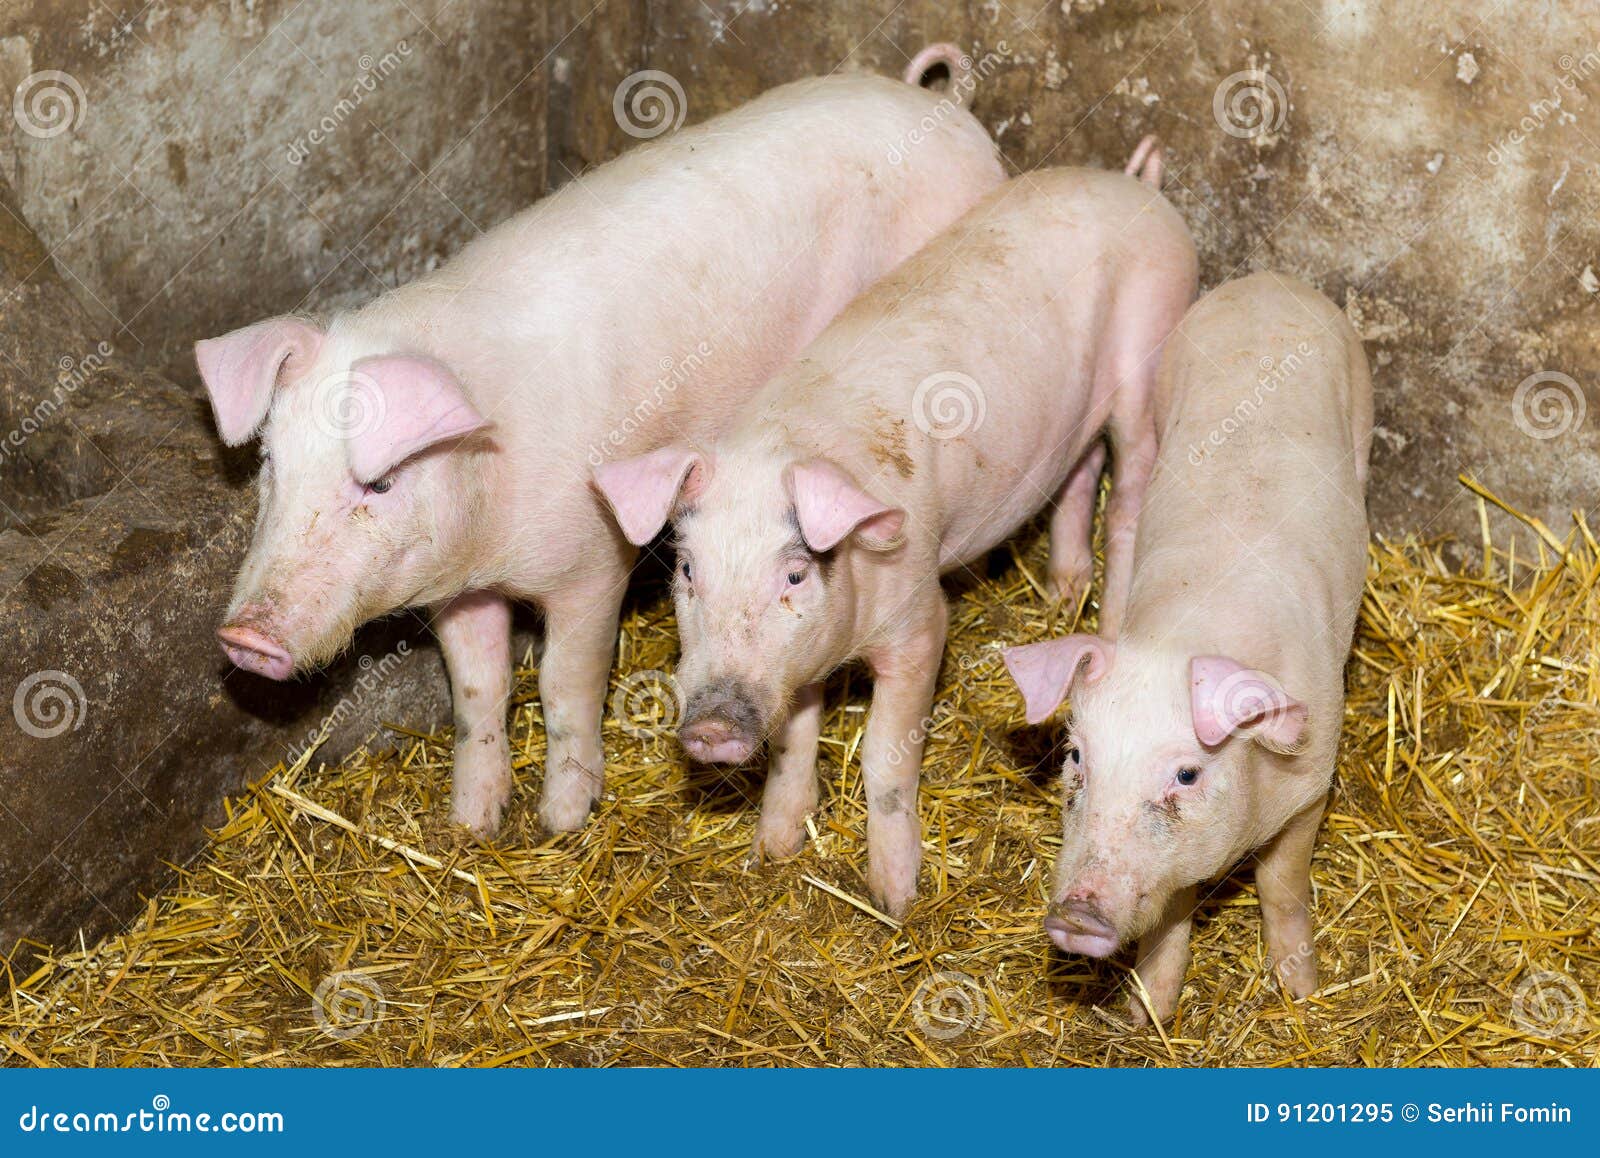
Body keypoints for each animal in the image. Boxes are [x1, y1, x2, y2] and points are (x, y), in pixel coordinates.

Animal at [198, 55, 1005, 839]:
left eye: (380, 485)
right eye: (270, 463)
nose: (243, 635)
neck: (490, 492)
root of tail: (943, 109)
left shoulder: (592, 561)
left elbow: (565, 682)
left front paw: (561, 822)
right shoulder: (461, 588)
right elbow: (476, 688)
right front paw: (472, 827)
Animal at [592, 155, 1198, 917]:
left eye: (795, 573)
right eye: (688, 572)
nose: (710, 728)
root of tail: (1135, 184)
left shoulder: (921, 622)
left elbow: (885, 754)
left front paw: (896, 899)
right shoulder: (799, 668)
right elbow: (793, 743)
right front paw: (772, 850)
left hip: (1151, 350)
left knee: (1130, 497)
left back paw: (1108, 623)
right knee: (1082, 470)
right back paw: (1062, 593)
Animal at [1002, 271, 1373, 1023]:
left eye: (1187, 774)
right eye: (1076, 757)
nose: (1075, 917)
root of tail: (1269, 282)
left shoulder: (1313, 784)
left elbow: (1282, 885)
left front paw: (1302, 992)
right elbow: (1170, 925)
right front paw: (1143, 1016)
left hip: (1362, 404)